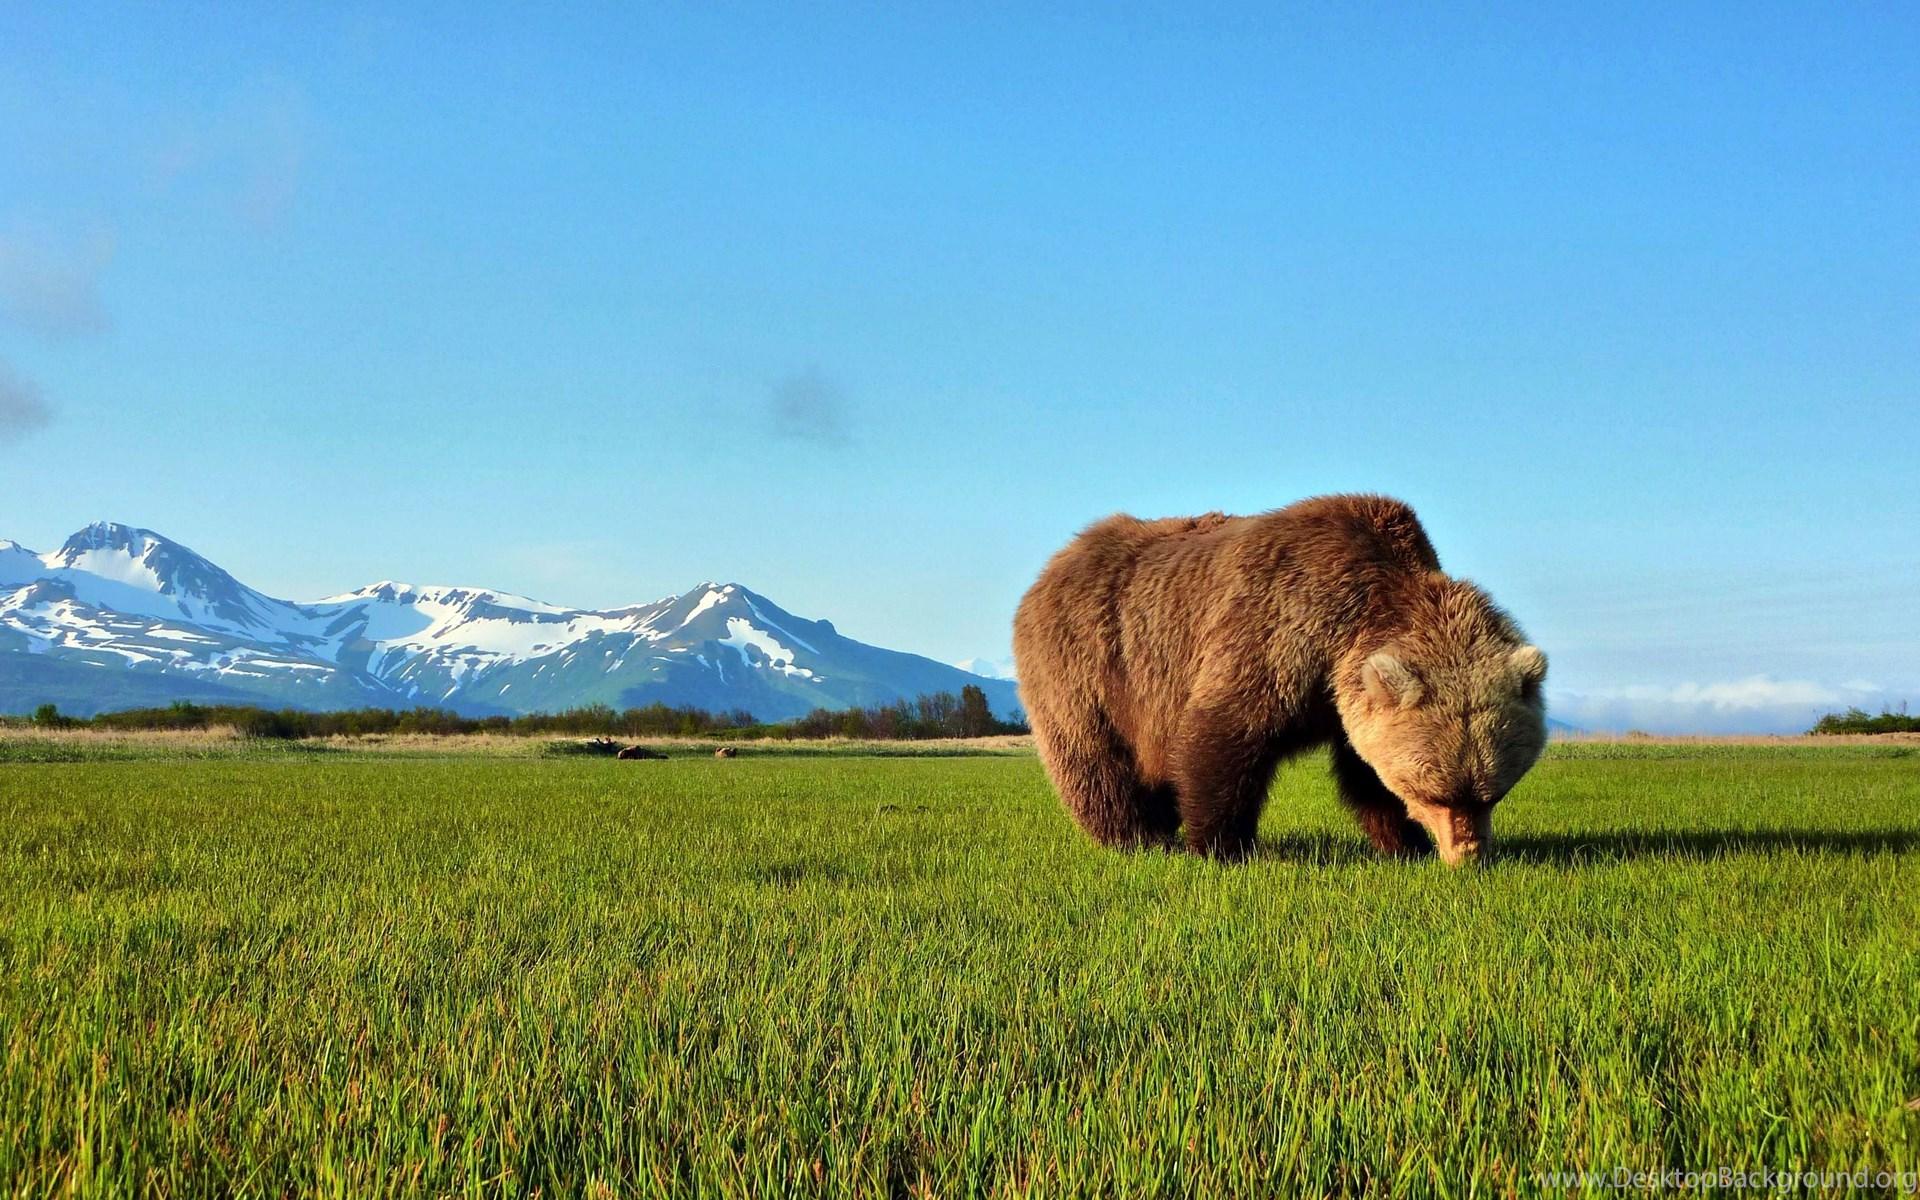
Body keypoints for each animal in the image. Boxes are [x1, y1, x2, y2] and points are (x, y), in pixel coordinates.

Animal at [1011, 494, 1547, 866]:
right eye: (1437, 792)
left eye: (1493, 792)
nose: (1469, 856)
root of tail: (1057, 561)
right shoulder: (1278, 629)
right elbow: (1224, 736)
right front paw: (1223, 847)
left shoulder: (1342, 696)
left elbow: (1364, 774)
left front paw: (1404, 842)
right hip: (1089, 665)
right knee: (1096, 761)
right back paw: (1139, 838)